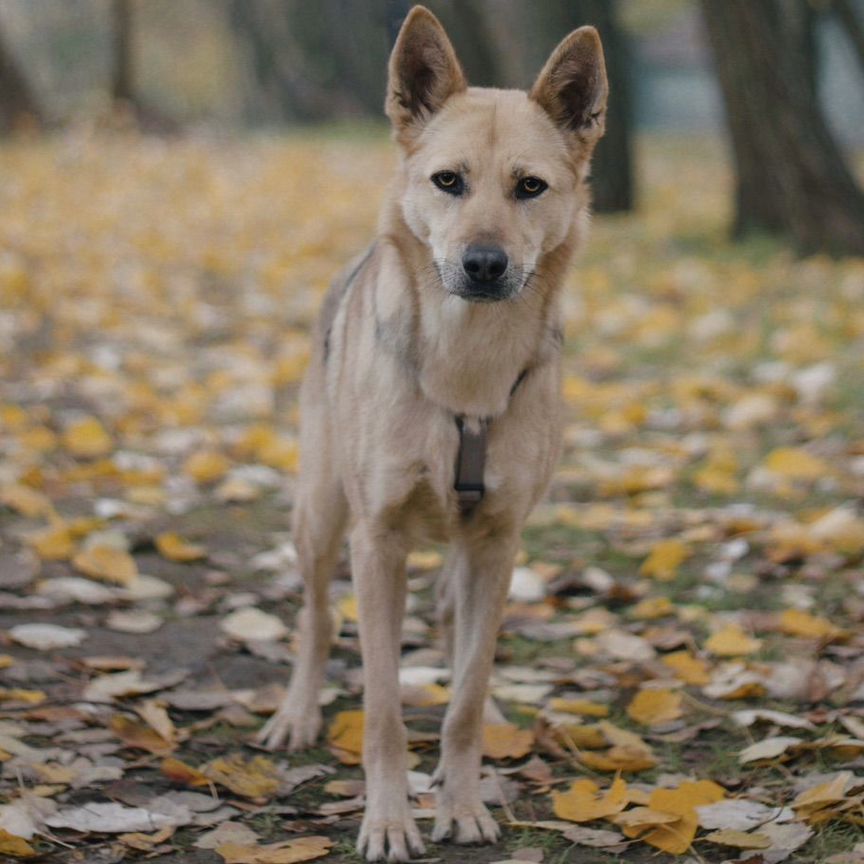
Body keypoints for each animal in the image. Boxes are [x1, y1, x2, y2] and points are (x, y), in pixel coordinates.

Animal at [256, 8, 608, 864]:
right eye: (448, 181)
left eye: (530, 187)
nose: (484, 264)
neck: (466, 370)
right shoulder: (377, 541)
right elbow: (383, 705)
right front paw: (388, 821)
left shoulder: (498, 540)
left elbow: (467, 695)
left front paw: (463, 802)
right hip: (320, 515)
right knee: (317, 618)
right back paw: (297, 712)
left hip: (474, 548)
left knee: (457, 628)